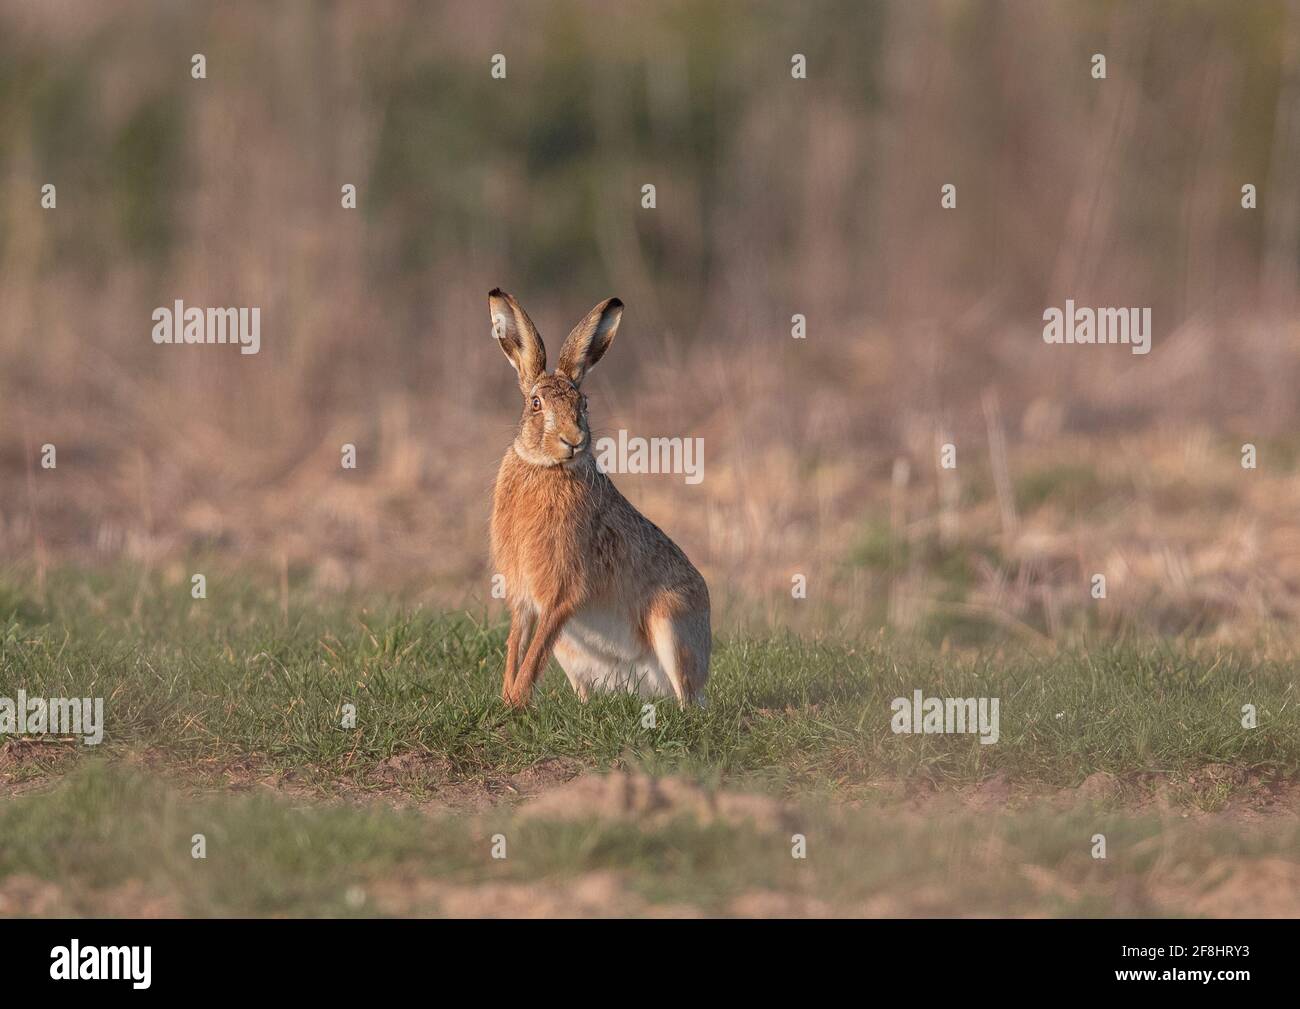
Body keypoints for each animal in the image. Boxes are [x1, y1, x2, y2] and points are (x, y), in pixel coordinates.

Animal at [488, 289, 711, 709]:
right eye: (536, 403)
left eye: (585, 404)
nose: (573, 440)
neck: (547, 467)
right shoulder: (524, 599)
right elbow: (517, 646)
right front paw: (508, 698)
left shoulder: (562, 593)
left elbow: (533, 653)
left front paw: (516, 701)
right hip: (570, 651)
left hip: (670, 622)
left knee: (686, 697)